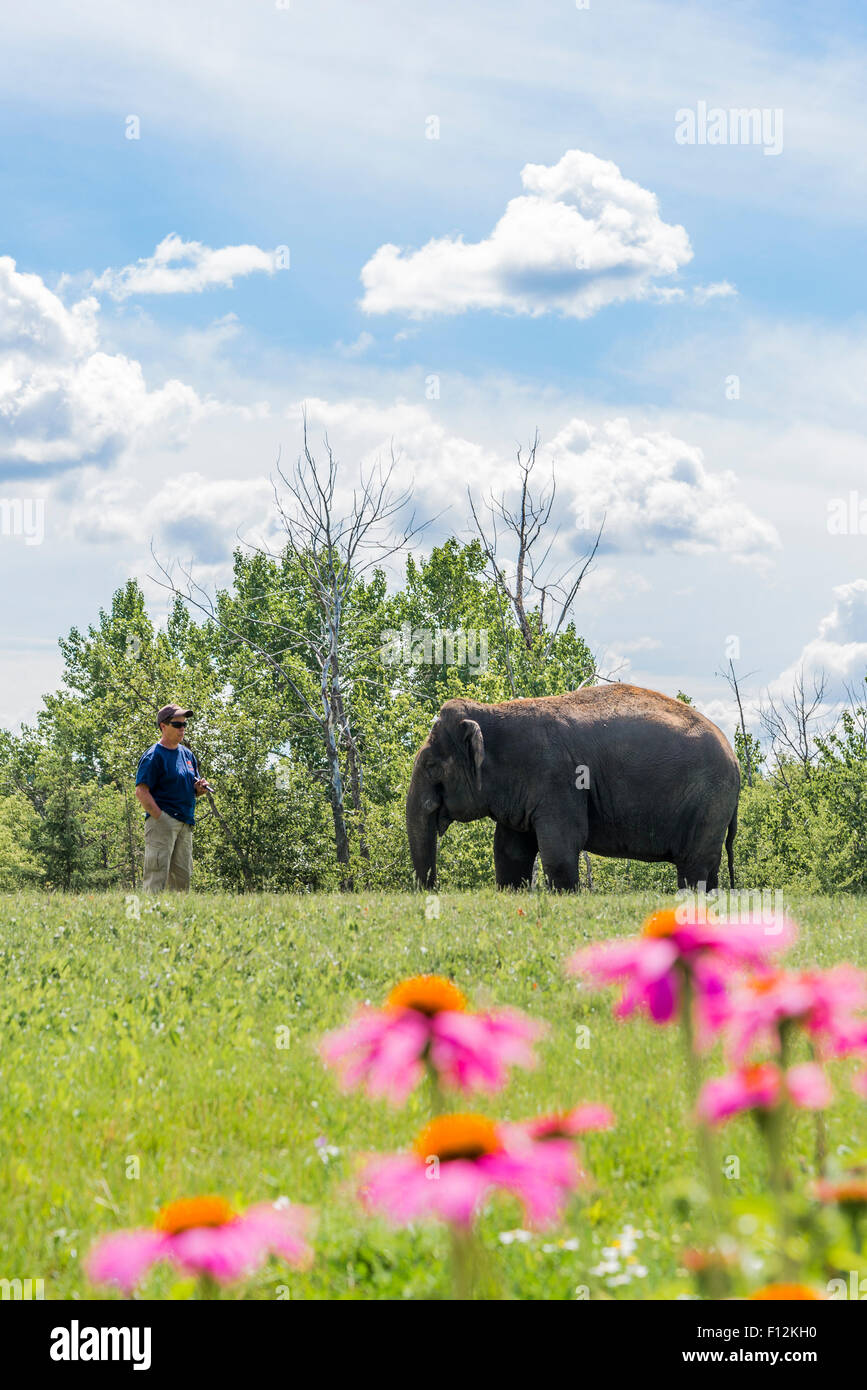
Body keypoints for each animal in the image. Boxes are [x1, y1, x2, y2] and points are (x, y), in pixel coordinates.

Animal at [406, 684, 740, 892]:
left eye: (432, 766)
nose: (432, 889)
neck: (492, 713)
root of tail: (735, 759)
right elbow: (509, 850)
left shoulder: (558, 778)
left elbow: (561, 845)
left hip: (709, 802)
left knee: (694, 866)